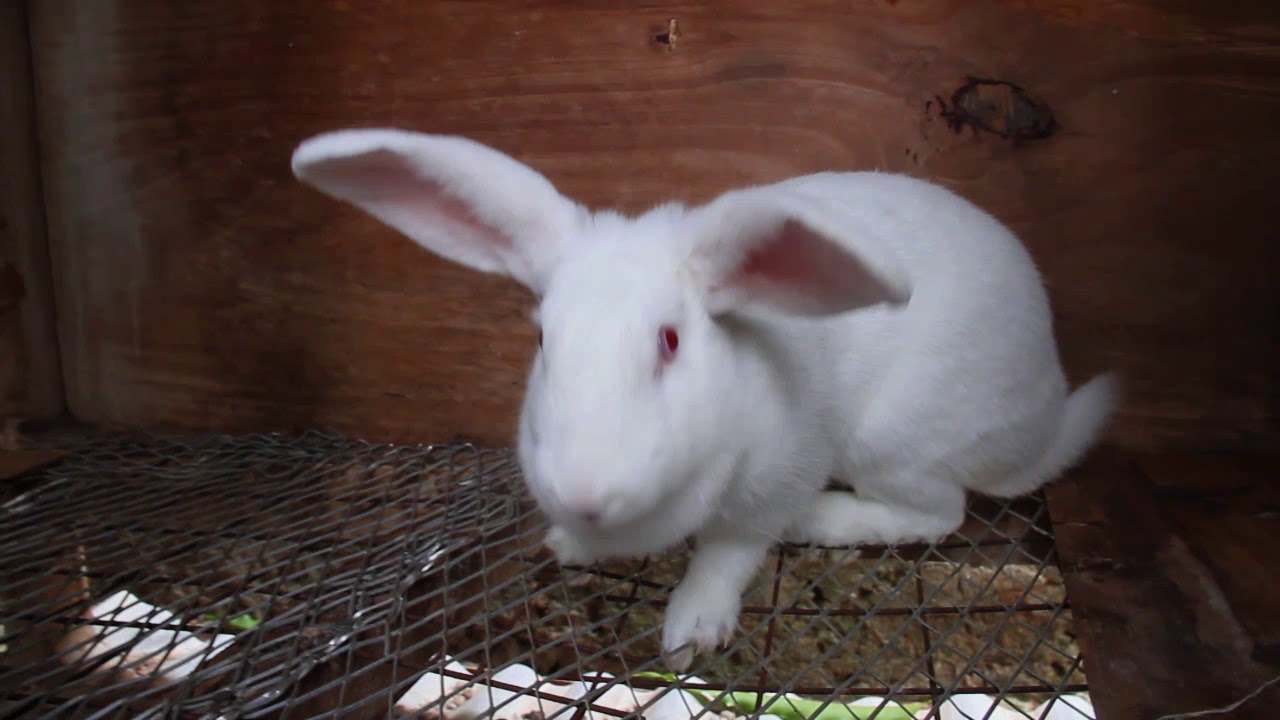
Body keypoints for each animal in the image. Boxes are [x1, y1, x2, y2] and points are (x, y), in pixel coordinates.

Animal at [290, 128, 1117, 672]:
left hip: (898, 442)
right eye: (542, 340)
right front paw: (570, 545)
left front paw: (691, 629)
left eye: (669, 342)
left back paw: (825, 519)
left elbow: (728, 554)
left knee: (940, 513)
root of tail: (1047, 416)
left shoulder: (771, 483)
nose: (583, 491)